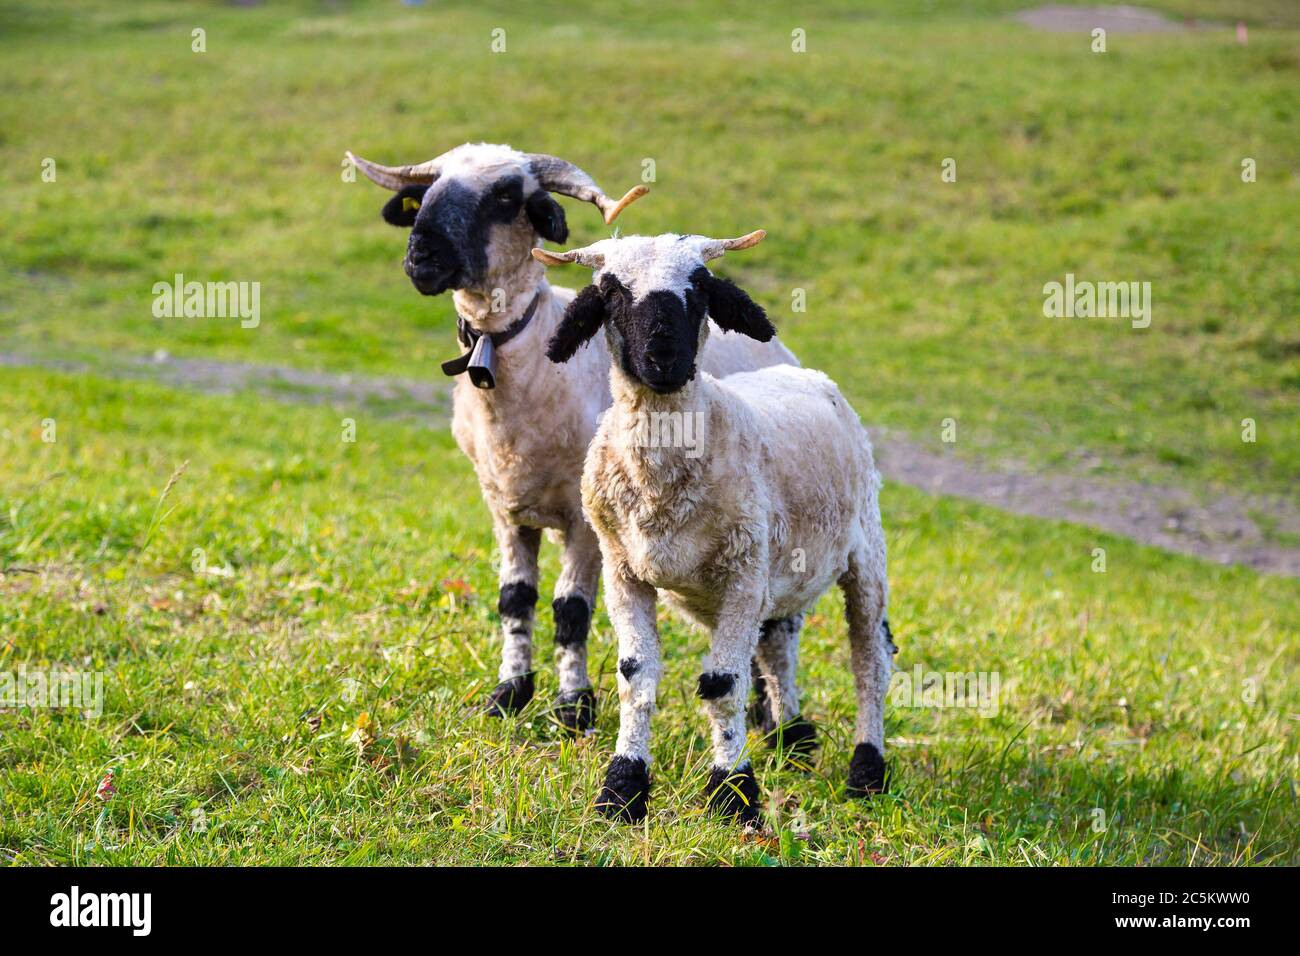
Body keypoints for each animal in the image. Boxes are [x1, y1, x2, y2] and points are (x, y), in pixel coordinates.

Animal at [348, 144, 807, 736]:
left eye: (505, 196)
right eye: (429, 190)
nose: (422, 254)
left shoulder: (585, 520)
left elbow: (570, 610)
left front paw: (573, 706)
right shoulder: (503, 507)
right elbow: (514, 600)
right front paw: (509, 692)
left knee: (776, 622)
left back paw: (774, 719)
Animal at [534, 230, 893, 823]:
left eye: (700, 287)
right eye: (609, 292)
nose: (664, 358)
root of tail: (805, 373)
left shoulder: (742, 576)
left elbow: (723, 684)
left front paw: (733, 793)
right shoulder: (622, 568)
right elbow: (635, 676)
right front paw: (622, 788)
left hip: (864, 550)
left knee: (870, 659)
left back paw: (867, 770)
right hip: (776, 566)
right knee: (778, 642)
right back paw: (791, 737)